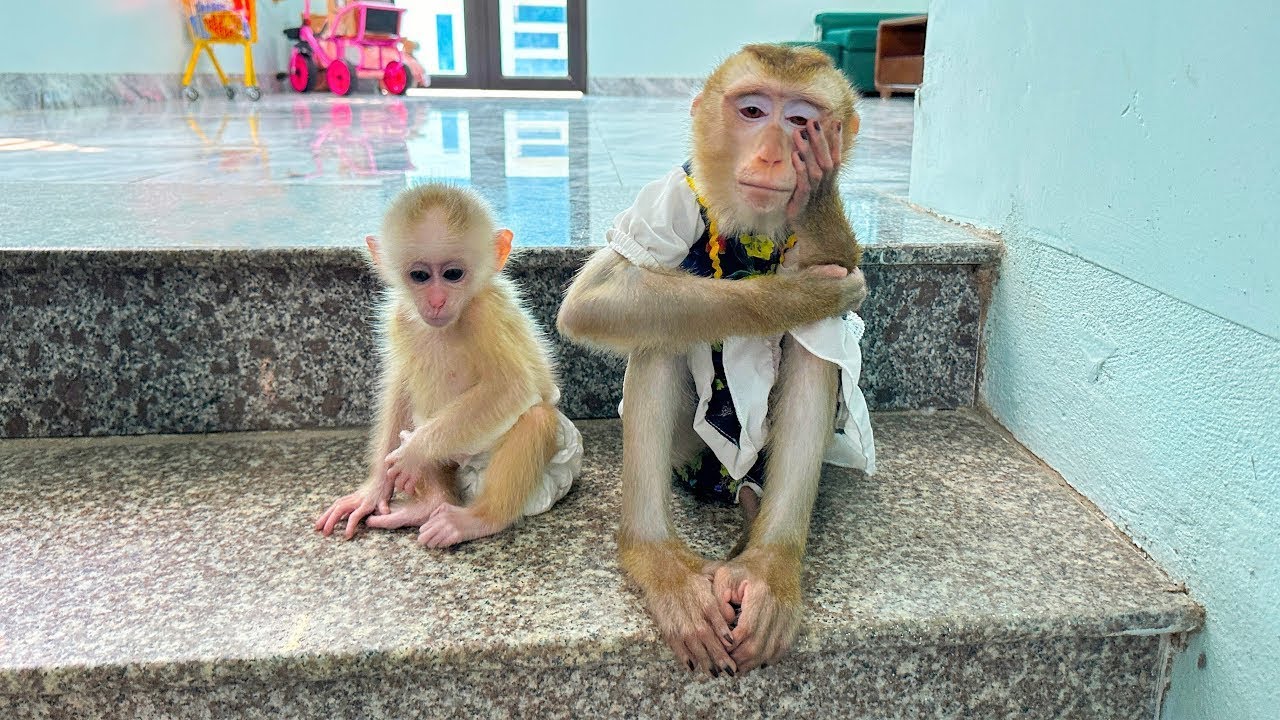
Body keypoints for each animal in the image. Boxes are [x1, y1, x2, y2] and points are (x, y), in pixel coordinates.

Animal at [316, 184, 583, 548]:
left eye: (453, 274)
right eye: (420, 276)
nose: (437, 301)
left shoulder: (484, 312)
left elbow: (510, 387)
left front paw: (414, 453)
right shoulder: (400, 316)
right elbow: (400, 388)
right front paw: (374, 489)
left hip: (560, 453)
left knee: (536, 418)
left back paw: (477, 519)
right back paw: (430, 504)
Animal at [557, 44, 875, 676]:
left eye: (801, 121)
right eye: (753, 111)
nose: (775, 153)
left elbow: (837, 291)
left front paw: (819, 200)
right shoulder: (668, 197)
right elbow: (597, 298)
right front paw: (799, 294)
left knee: (818, 344)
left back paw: (768, 560)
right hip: (687, 453)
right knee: (656, 325)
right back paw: (656, 558)